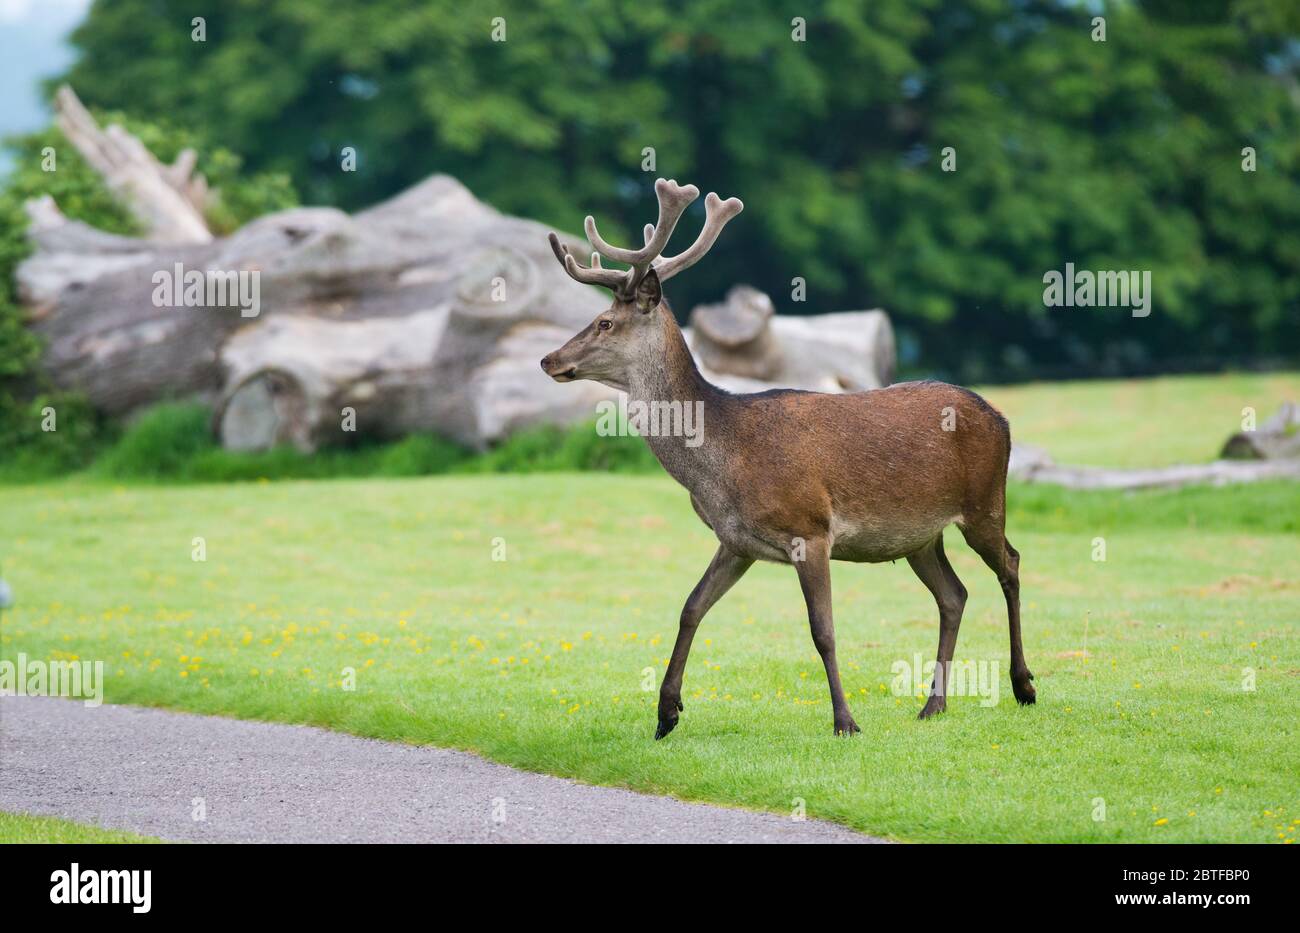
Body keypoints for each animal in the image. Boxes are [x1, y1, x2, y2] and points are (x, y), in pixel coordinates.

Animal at [540, 178, 1035, 738]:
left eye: (604, 322)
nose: (549, 359)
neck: (722, 462)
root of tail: (1001, 417)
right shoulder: (736, 541)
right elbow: (691, 608)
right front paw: (666, 713)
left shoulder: (810, 530)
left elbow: (823, 631)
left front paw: (845, 721)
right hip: (920, 535)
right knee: (954, 595)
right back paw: (933, 704)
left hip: (985, 502)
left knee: (1011, 565)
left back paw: (1023, 686)